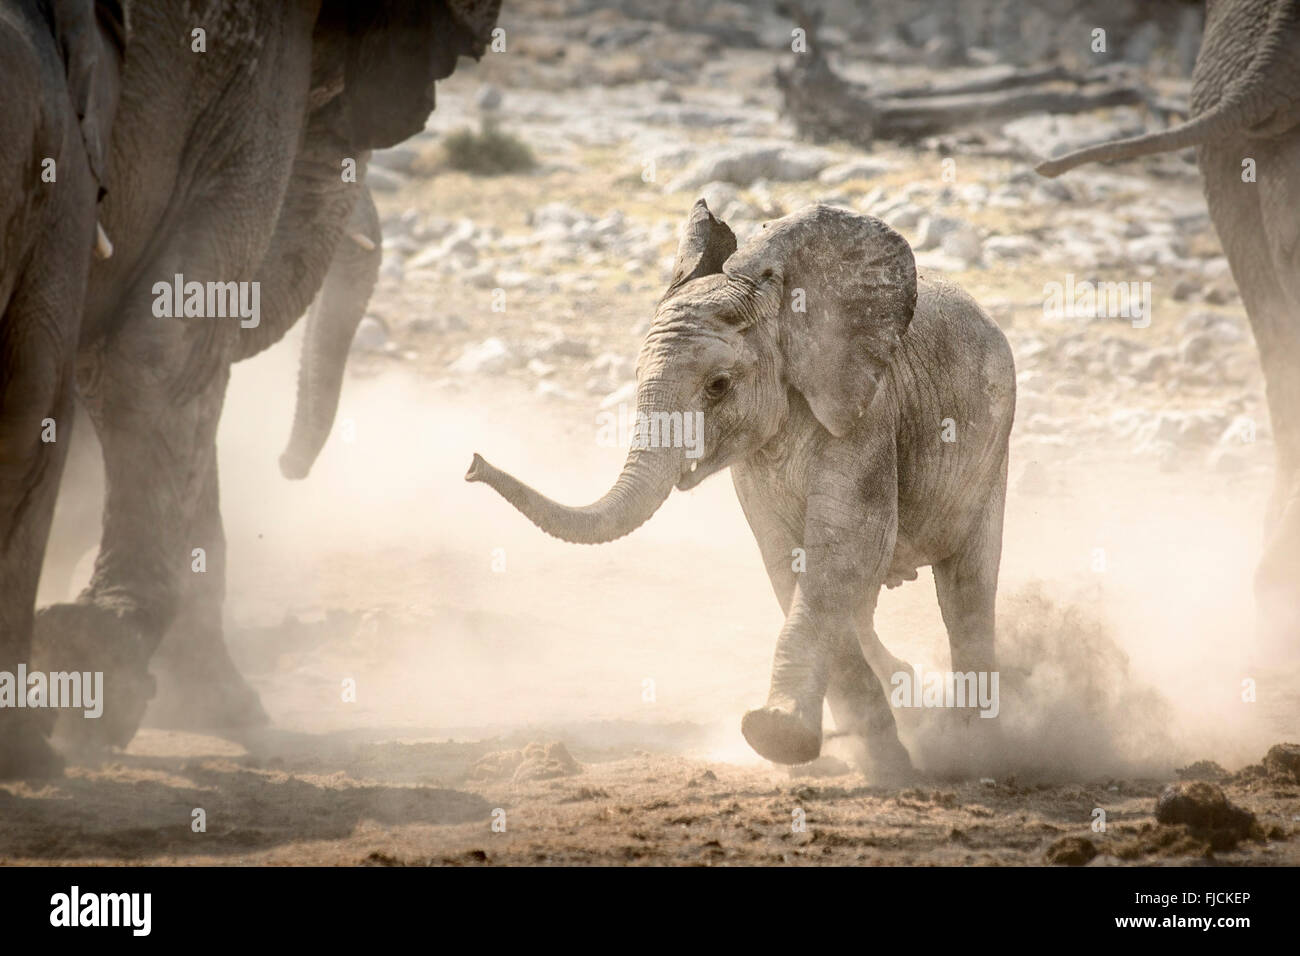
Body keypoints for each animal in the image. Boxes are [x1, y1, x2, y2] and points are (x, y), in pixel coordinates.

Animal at [467, 201, 1016, 774]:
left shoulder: (866, 415)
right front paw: (872, 761)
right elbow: (790, 565)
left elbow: (842, 555)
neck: (783, 309)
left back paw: (976, 750)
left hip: (993, 449)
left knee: (967, 590)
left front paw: (779, 737)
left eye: (718, 386)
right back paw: (907, 691)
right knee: (868, 604)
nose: (473, 464)